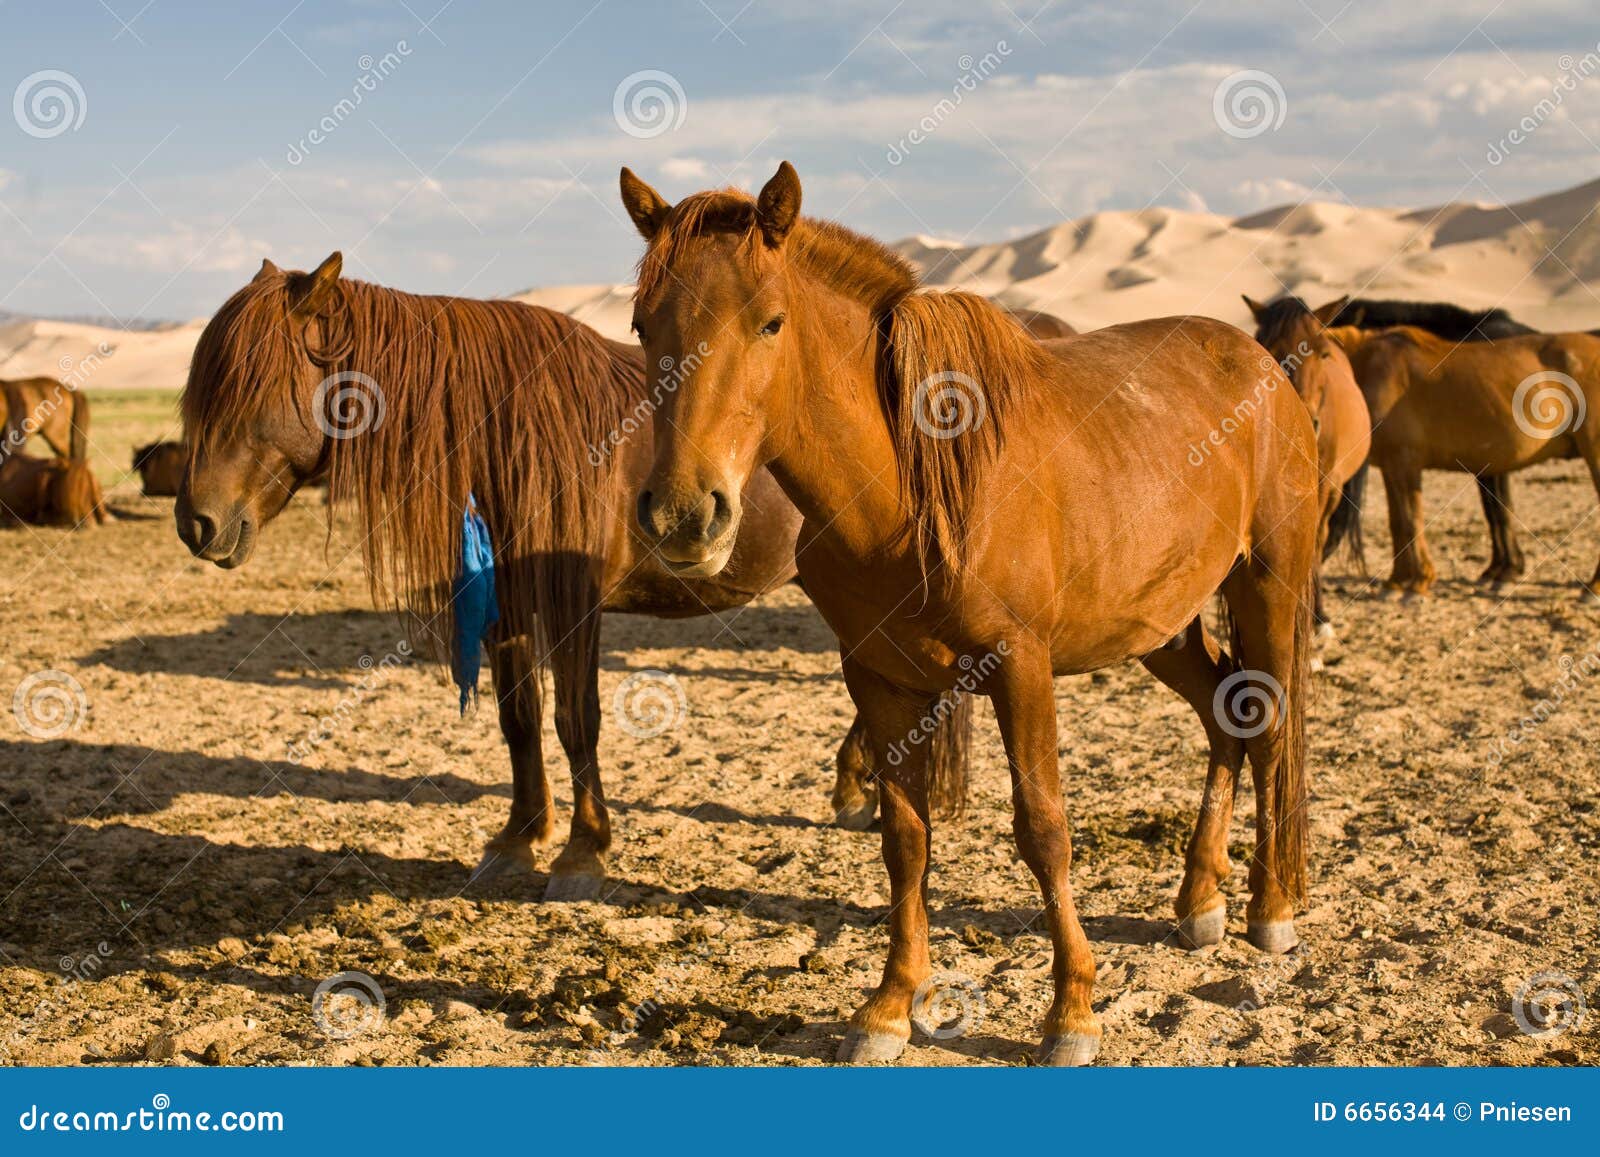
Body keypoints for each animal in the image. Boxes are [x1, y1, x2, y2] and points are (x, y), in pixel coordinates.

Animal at [176, 255, 964, 900]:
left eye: (255, 384)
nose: (196, 521)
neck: (514, 435)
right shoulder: (507, 603)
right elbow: (518, 718)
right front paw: (520, 836)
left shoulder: (574, 602)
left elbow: (575, 720)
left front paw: (585, 852)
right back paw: (856, 786)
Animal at [620, 162, 1320, 1065]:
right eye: (643, 326)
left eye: (770, 322)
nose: (681, 516)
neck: (905, 489)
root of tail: (1262, 364)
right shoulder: (879, 681)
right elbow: (905, 841)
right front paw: (890, 1005)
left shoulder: (1020, 669)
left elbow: (1044, 831)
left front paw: (1071, 1010)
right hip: (1160, 623)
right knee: (1222, 717)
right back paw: (1200, 897)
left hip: (1266, 587)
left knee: (1265, 728)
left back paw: (1271, 908)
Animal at [1244, 295, 1372, 630]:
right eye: (1269, 350)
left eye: (1322, 354)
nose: (1303, 422)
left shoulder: (1325, 486)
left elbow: (1314, 540)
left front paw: (1319, 614)